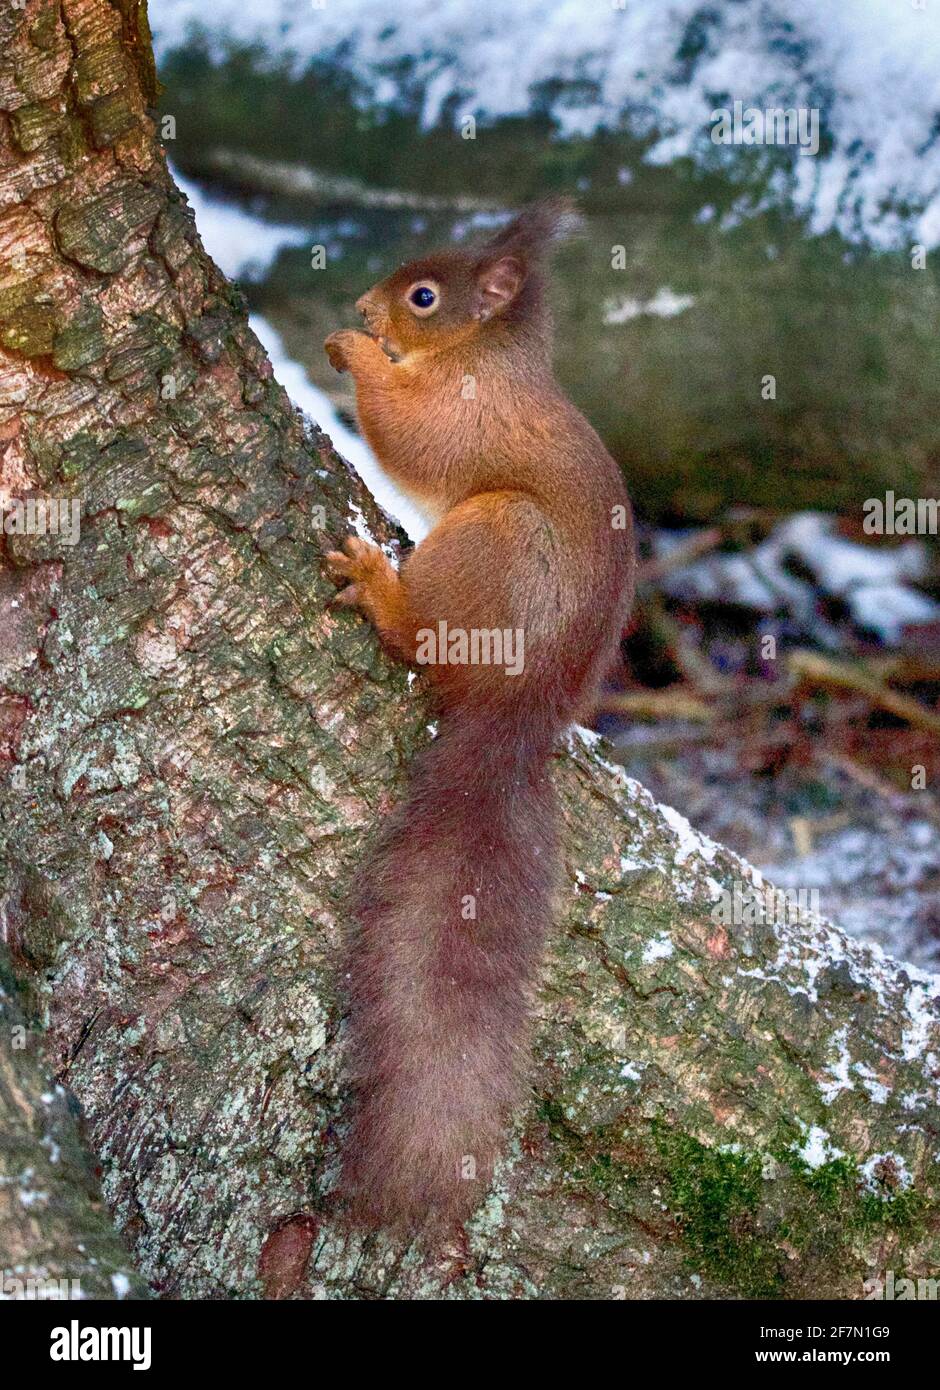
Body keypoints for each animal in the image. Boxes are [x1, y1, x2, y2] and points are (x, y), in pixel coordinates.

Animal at [324, 198, 636, 1236]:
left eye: (425, 297)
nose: (364, 305)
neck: (483, 356)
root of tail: (523, 711)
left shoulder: (464, 417)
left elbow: (412, 435)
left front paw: (354, 352)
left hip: (495, 544)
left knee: (420, 641)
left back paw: (383, 588)